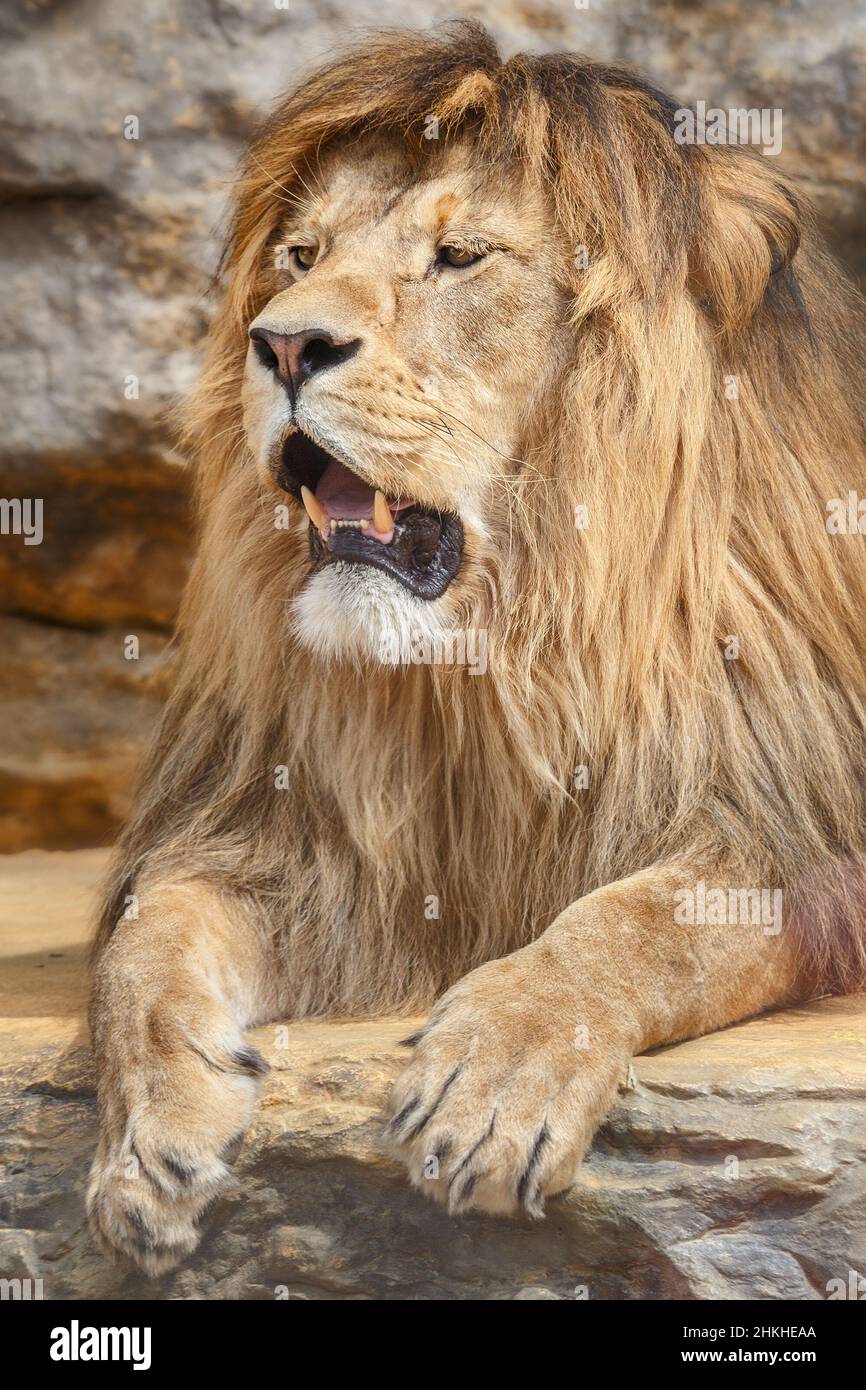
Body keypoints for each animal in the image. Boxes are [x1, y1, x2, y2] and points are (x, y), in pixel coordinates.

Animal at [87, 22, 866, 1274]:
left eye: (458, 257)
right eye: (299, 254)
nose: (283, 343)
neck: (490, 664)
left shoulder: (795, 820)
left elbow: (633, 922)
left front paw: (497, 1076)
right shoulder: (287, 837)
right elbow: (147, 942)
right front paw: (144, 1139)